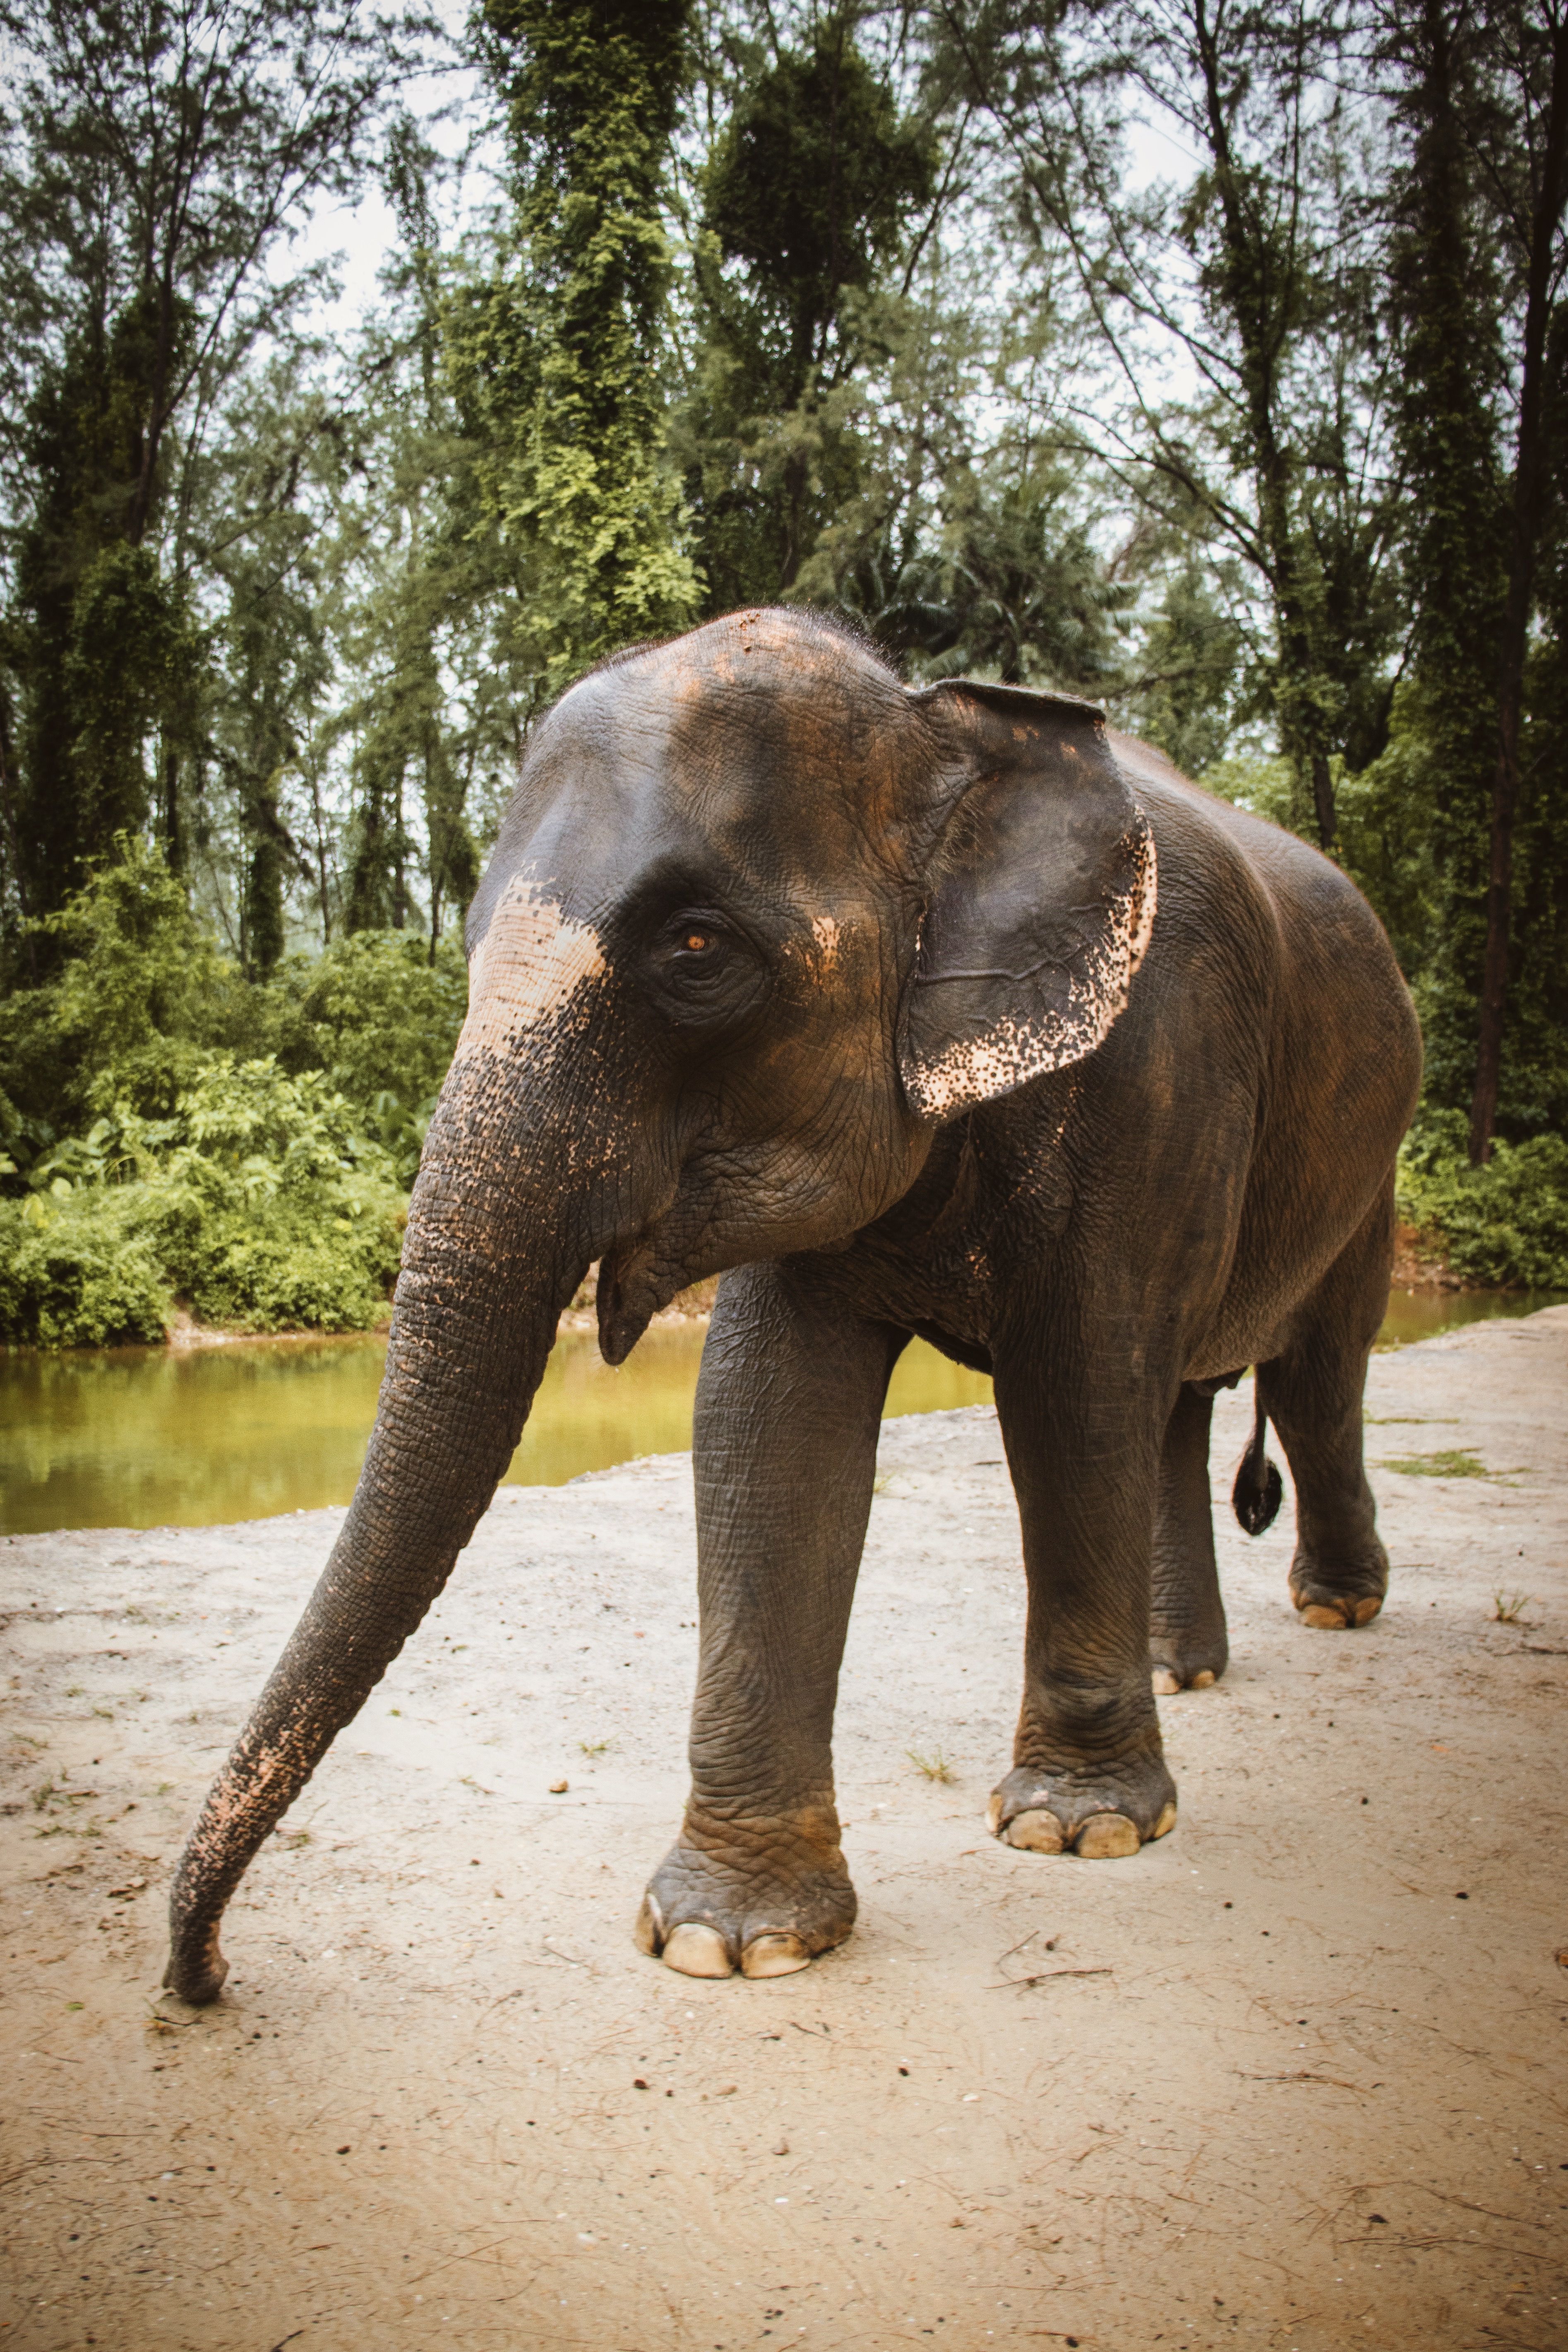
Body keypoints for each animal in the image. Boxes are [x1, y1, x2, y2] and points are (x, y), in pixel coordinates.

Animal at [164, 605, 1422, 1999]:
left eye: (694, 946)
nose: (204, 1977)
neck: (935, 724)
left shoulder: (1150, 1071)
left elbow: (1075, 1391)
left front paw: (1072, 1828)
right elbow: (767, 1417)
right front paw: (730, 1942)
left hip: (1372, 1159)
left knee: (1306, 1374)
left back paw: (1333, 1607)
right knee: (1186, 1402)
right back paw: (1178, 1665)